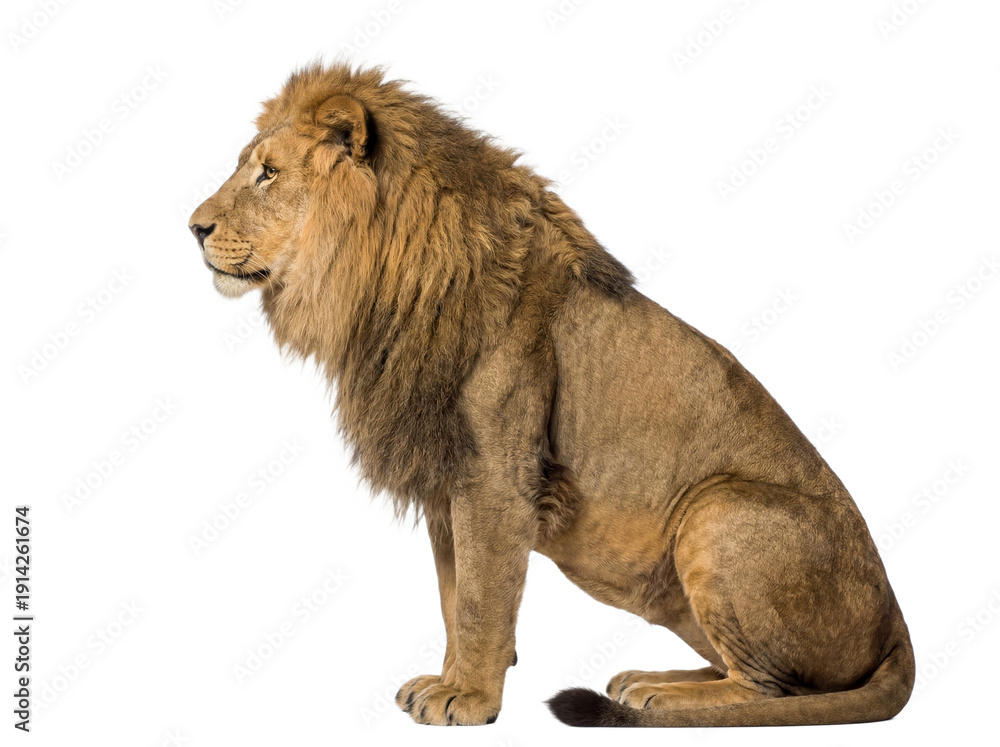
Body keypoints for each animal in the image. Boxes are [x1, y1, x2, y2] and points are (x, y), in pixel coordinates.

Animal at [188, 64, 914, 727]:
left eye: (268, 173)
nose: (192, 227)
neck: (384, 291)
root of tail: (898, 628)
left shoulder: (495, 477)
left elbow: (480, 598)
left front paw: (468, 699)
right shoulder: (443, 479)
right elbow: (453, 595)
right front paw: (449, 680)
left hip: (720, 506)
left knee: (772, 690)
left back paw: (663, 697)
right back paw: (649, 679)